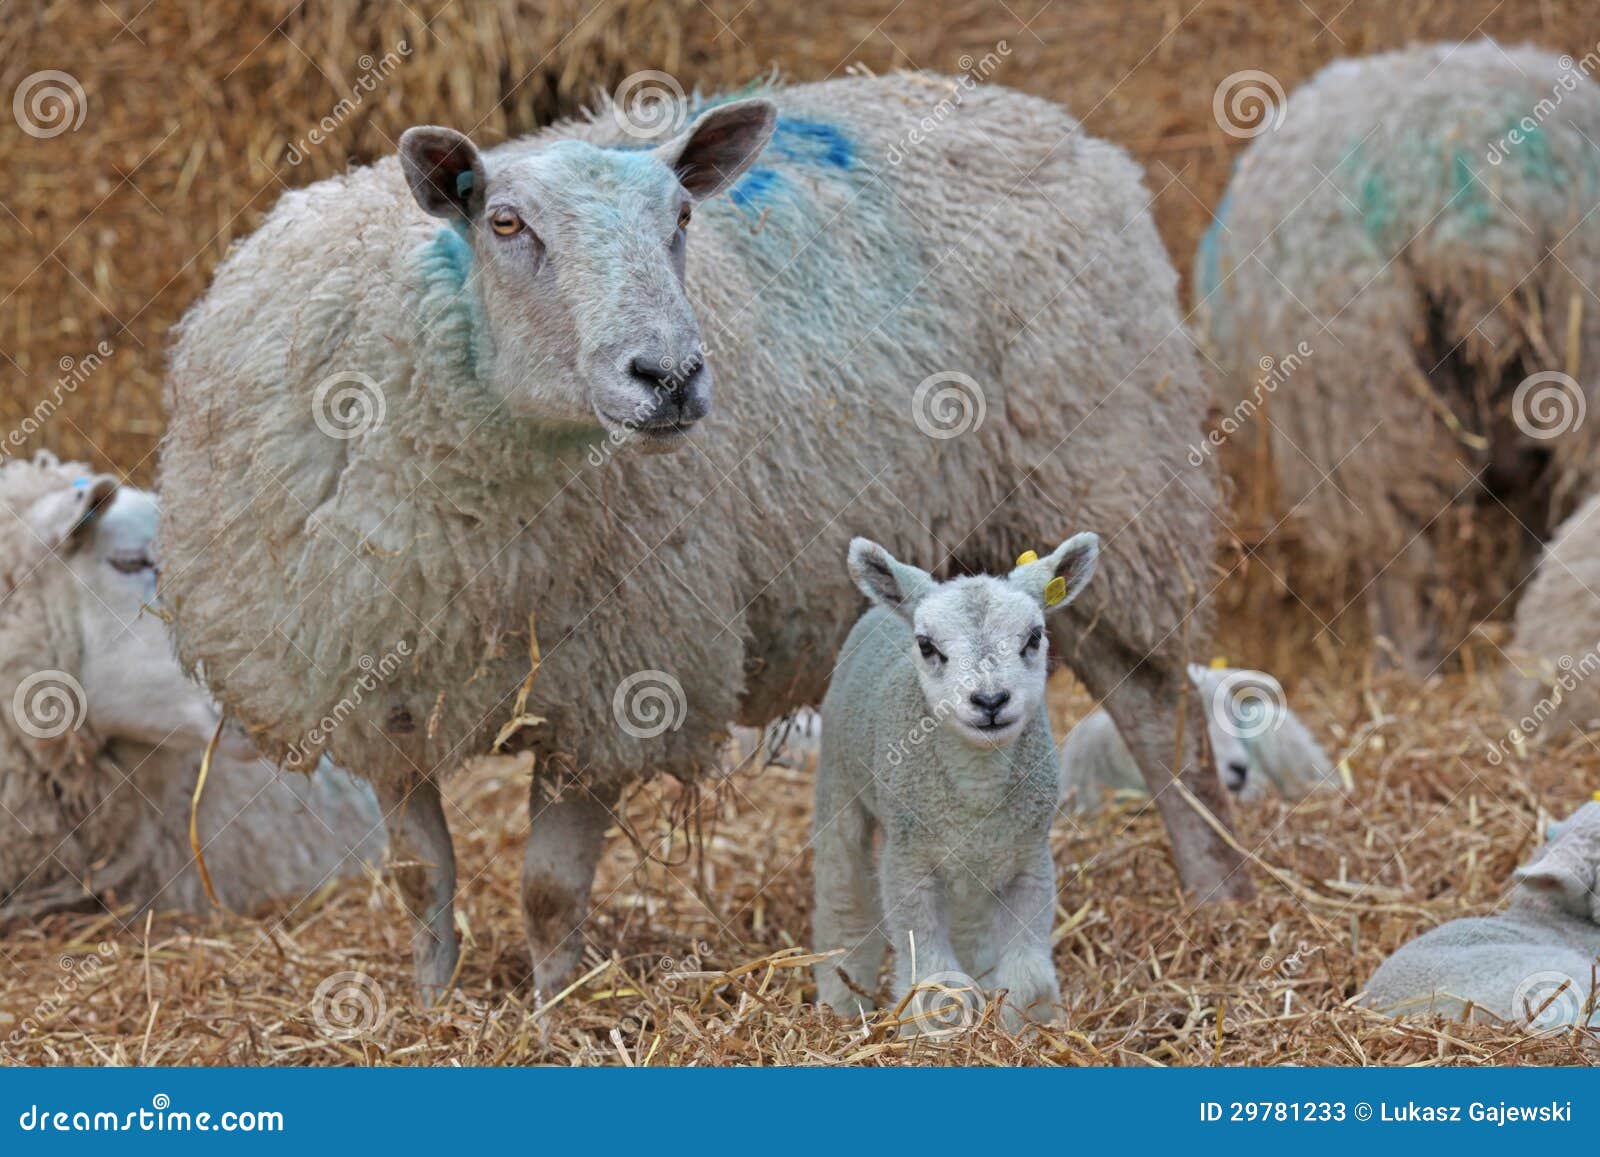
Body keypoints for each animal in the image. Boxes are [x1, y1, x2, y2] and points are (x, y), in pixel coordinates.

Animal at [812, 534, 1097, 1030]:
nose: (990, 700)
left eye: (1034, 637)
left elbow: (1028, 971)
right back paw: (841, 997)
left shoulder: (1029, 856)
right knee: (840, 893)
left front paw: (1026, 1025)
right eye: (926, 646)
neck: (977, 785)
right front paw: (936, 1027)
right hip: (838, 776)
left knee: (968, 921)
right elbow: (930, 973)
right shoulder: (908, 859)